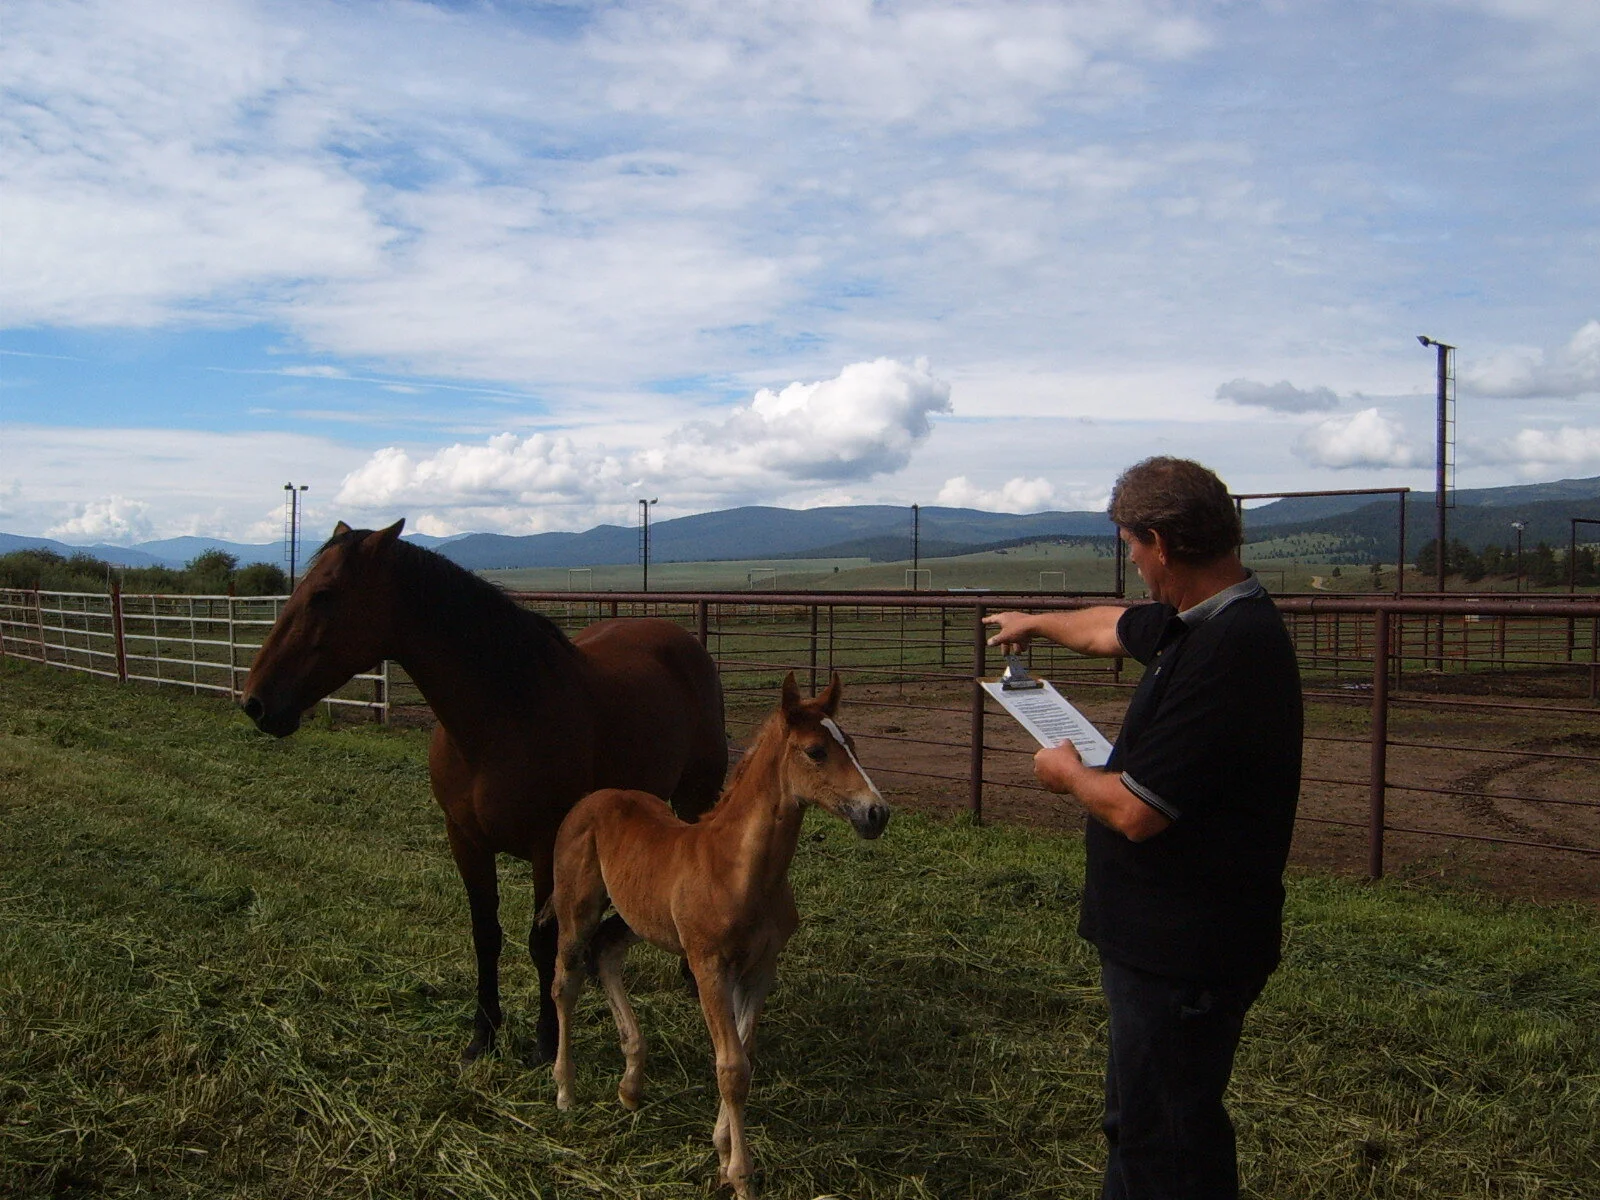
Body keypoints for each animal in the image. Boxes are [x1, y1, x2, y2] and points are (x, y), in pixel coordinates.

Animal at [239, 520, 728, 1064]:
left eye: (324, 594)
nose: (256, 702)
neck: (502, 714)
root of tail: (680, 639)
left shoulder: (545, 845)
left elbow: (542, 941)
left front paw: (545, 1043)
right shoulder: (465, 840)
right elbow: (485, 935)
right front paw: (483, 1035)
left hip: (694, 796)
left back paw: (690, 975)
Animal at [545, 671, 888, 1200]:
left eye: (850, 744)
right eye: (815, 751)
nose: (876, 814)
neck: (740, 870)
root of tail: (592, 799)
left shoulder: (761, 968)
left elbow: (743, 1055)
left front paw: (723, 1151)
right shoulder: (707, 964)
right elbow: (731, 1069)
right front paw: (741, 1174)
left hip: (640, 916)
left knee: (606, 954)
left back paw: (630, 1083)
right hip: (577, 908)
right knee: (565, 982)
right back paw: (565, 1088)